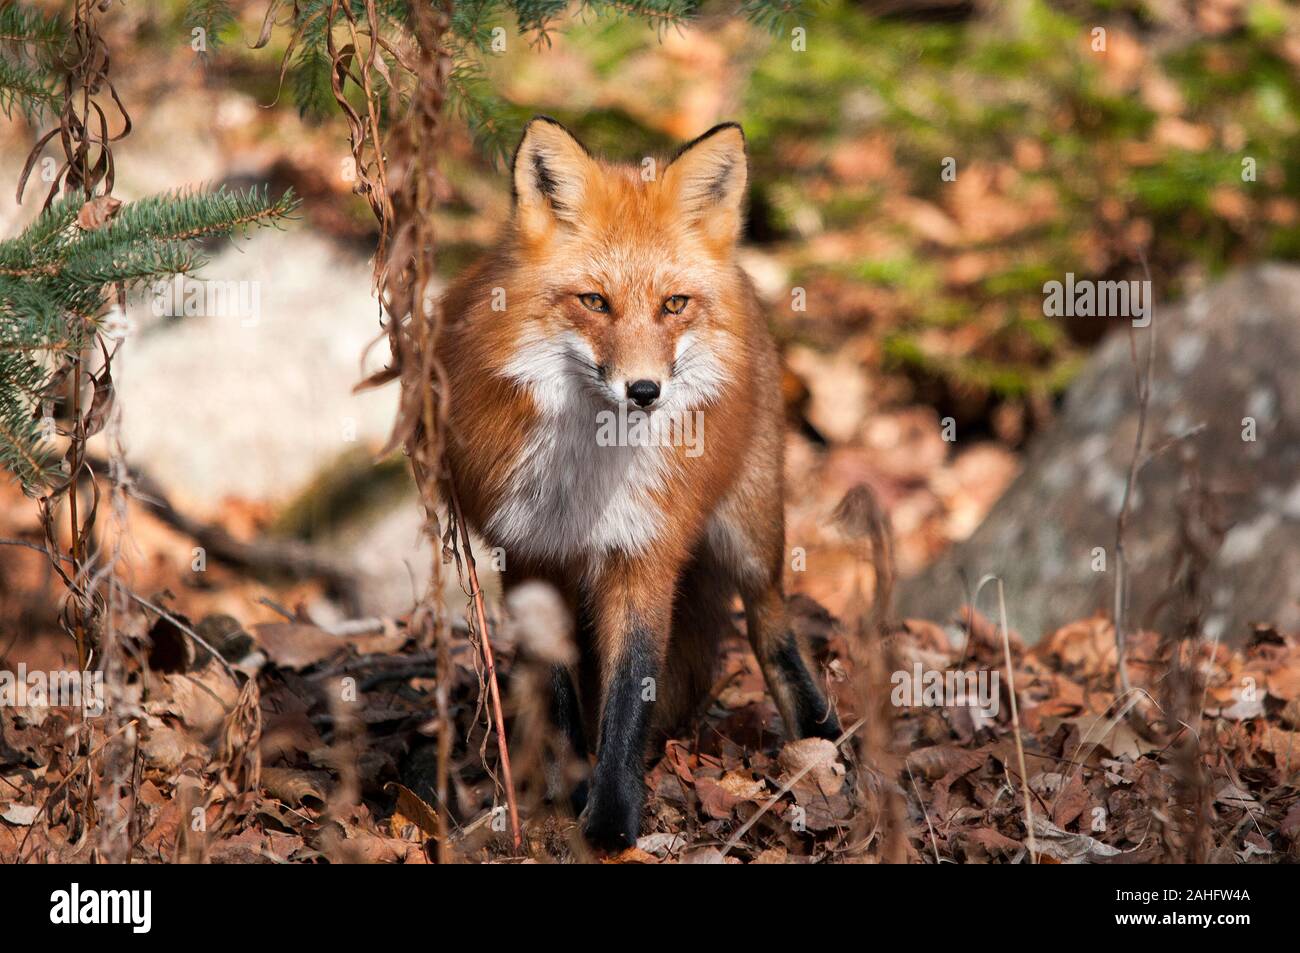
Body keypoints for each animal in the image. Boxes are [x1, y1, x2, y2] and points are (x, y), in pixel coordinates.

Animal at [437, 116, 841, 850]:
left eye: (673, 304)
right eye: (595, 302)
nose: (645, 390)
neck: (587, 472)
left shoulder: (646, 549)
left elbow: (630, 691)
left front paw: (614, 817)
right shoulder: (530, 551)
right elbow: (562, 690)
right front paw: (572, 788)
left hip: (751, 530)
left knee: (771, 625)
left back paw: (819, 734)